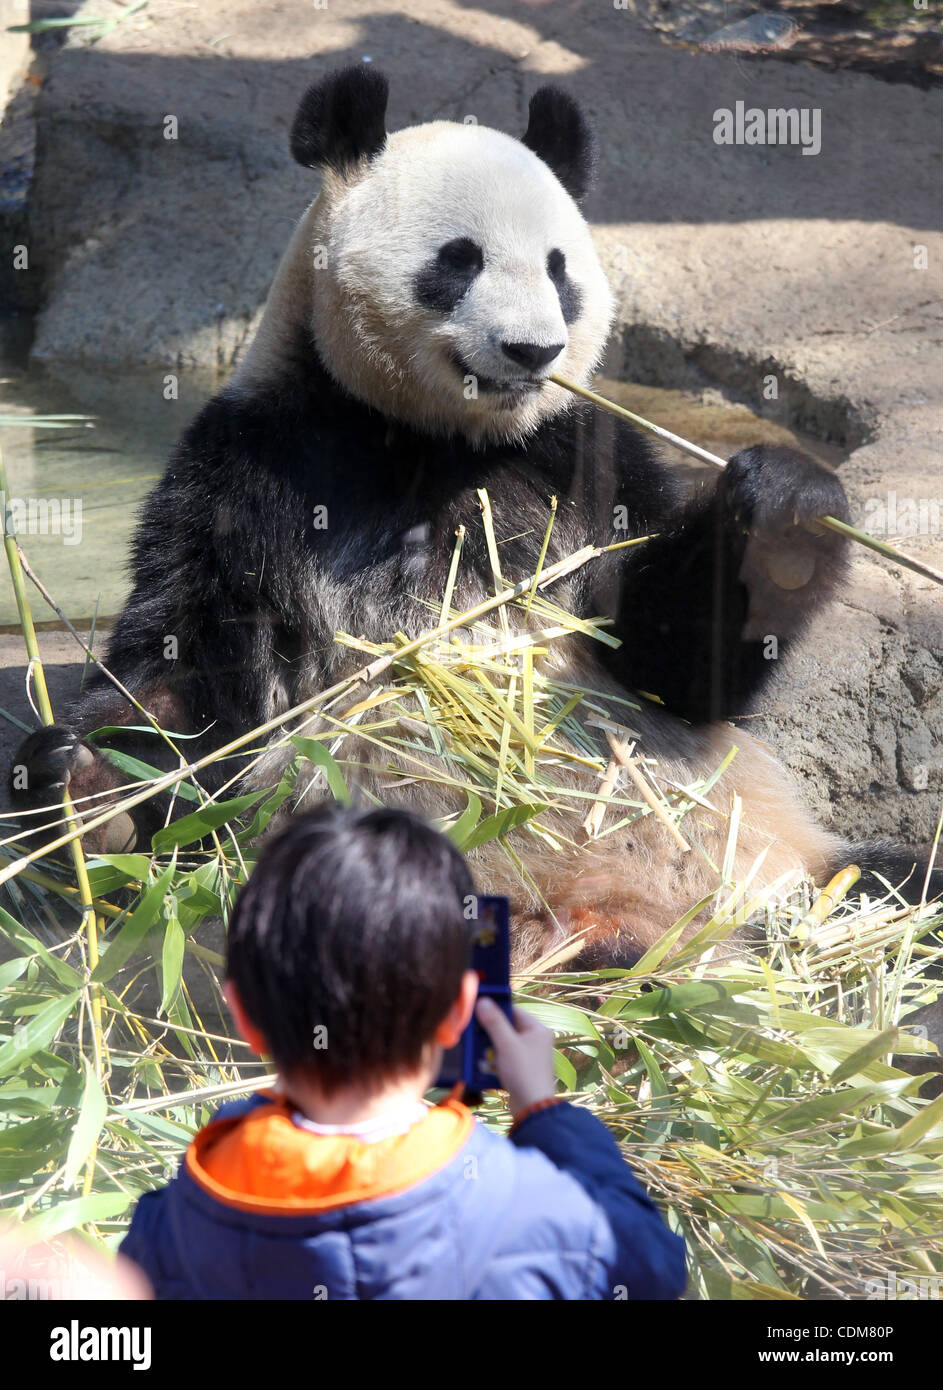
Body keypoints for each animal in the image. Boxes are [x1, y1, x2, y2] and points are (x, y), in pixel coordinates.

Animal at [10, 65, 940, 970]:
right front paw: (80, 783)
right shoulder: (248, 463)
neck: (438, 439)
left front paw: (785, 514)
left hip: (777, 872)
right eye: (459, 260)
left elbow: (667, 666)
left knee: (893, 886)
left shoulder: (587, 454)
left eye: (559, 269)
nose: (533, 351)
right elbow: (187, 672)